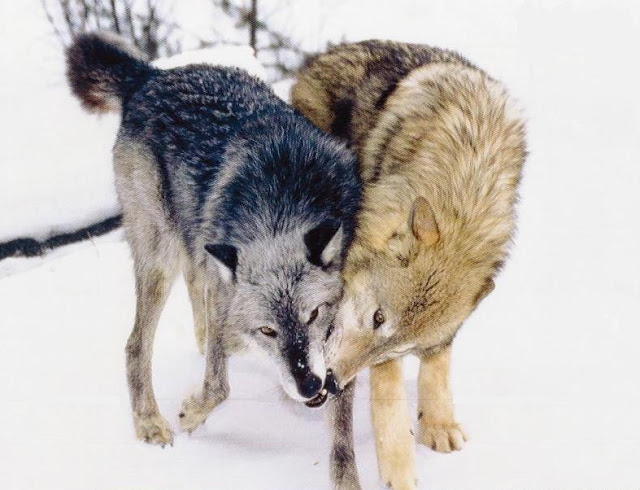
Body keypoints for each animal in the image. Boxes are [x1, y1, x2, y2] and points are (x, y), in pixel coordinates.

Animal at [66, 33, 361, 448]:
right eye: (268, 330)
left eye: (314, 314)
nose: (309, 385)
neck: (281, 203)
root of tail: (149, 76)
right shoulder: (224, 296)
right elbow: (220, 385)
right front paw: (190, 414)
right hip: (161, 257)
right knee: (135, 345)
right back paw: (148, 422)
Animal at [293, 40, 526, 489]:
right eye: (378, 317)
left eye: (399, 344)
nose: (332, 382)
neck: (466, 192)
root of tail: (325, 55)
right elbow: (389, 406)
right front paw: (399, 470)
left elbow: (438, 366)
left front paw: (438, 425)